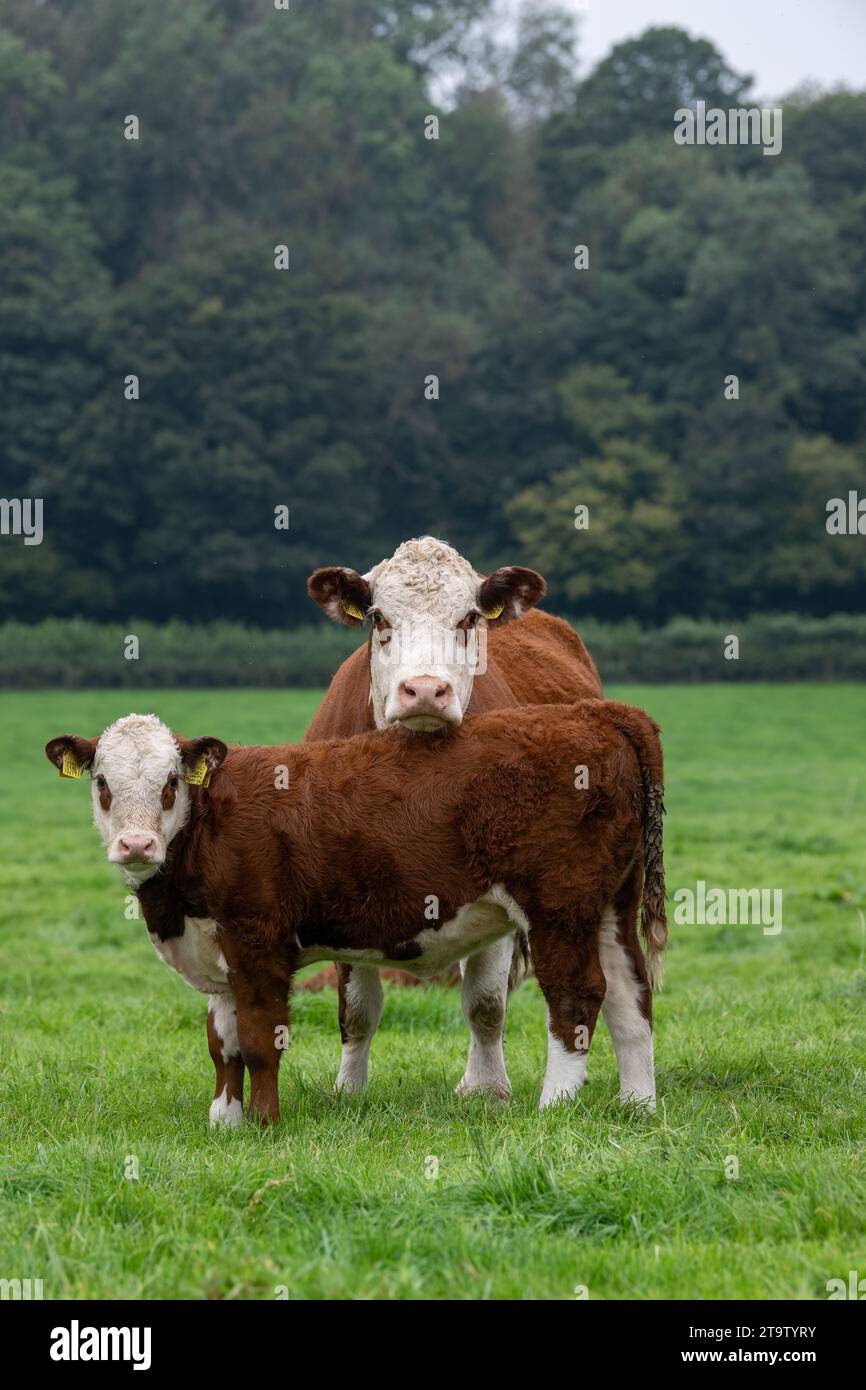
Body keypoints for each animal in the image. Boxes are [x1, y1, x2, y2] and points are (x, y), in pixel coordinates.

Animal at [45, 700, 666, 1126]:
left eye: (171, 782)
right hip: (610, 905)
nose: (136, 845)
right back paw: (638, 1103)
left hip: (560, 903)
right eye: (102, 782)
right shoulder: (217, 957)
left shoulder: (258, 946)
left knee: (577, 994)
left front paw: (264, 1124)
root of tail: (596, 711)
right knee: (630, 998)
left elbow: (258, 1038)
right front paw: (224, 1120)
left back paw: (555, 1104)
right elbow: (222, 1044)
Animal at [306, 535, 604, 1095]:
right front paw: (349, 1087)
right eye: (378, 617)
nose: (425, 690)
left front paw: (487, 1089)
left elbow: (485, 1003)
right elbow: (357, 1008)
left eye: (468, 619)